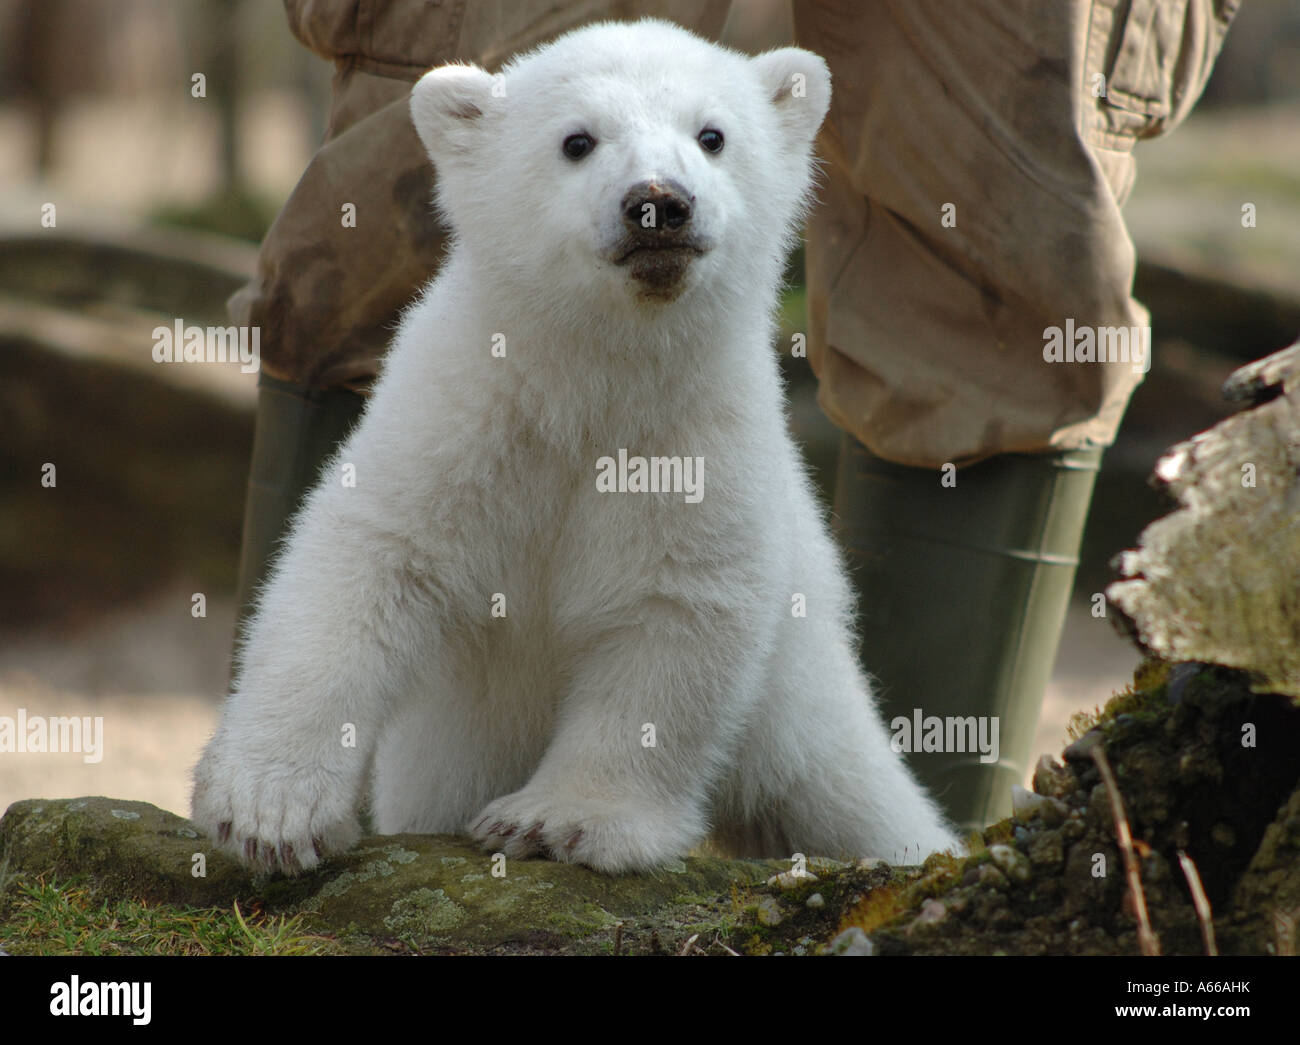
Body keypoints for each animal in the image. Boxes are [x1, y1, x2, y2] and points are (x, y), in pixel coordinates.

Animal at [191, 18, 957, 875]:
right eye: (577, 140)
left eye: (713, 134)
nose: (659, 203)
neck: (590, 381)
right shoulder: (460, 415)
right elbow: (365, 562)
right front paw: (269, 809)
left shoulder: (697, 443)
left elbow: (678, 616)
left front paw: (558, 822)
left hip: (803, 696)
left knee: (861, 802)